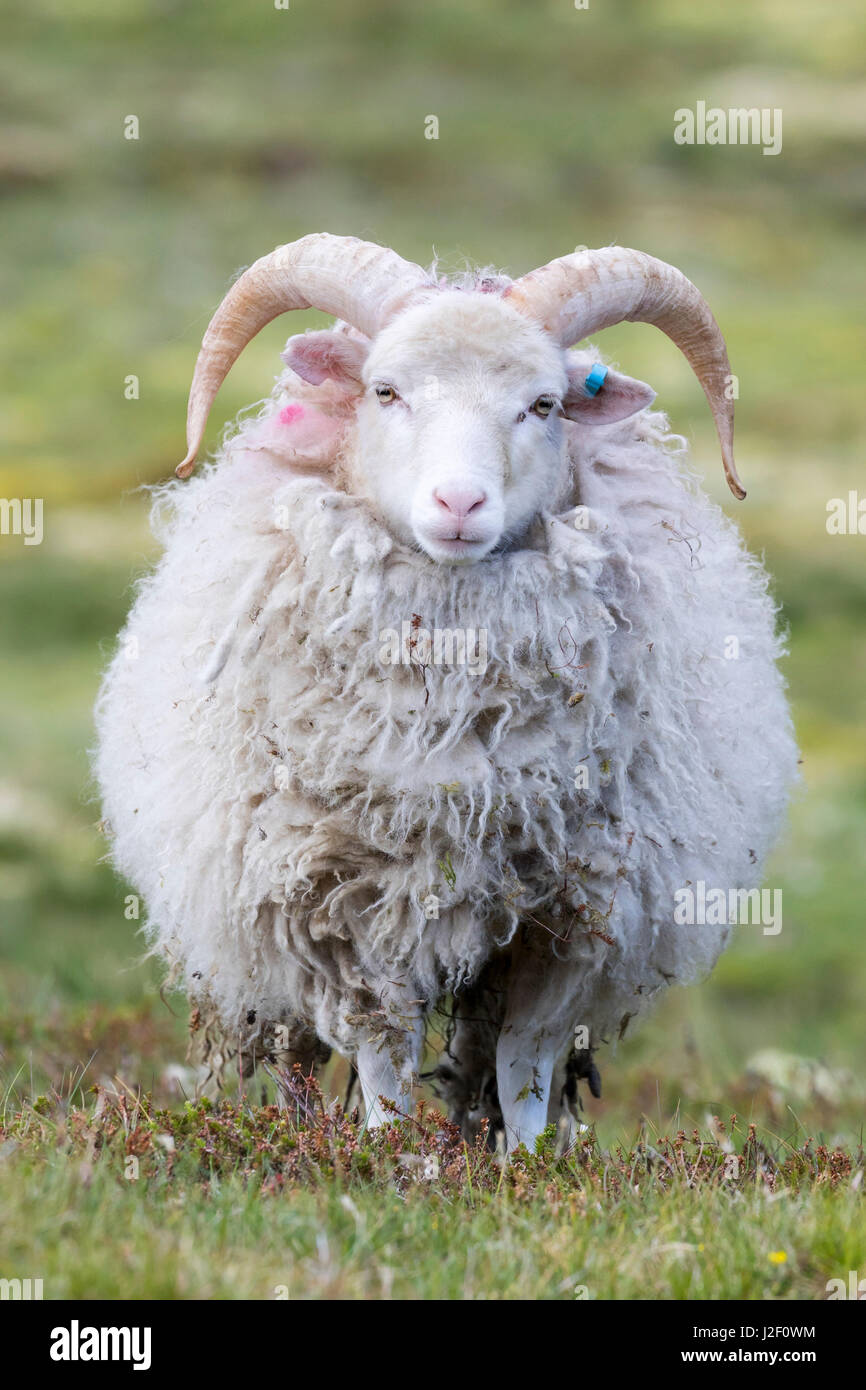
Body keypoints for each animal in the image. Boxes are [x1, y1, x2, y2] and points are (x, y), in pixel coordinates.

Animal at [95, 233, 798, 1152]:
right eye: (385, 390)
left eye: (543, 404)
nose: (458, 502)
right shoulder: (348, 912)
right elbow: (384, 1053)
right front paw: (386, 1155)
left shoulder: (571, 921)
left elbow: (525, 1061)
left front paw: (528, 1164)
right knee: (295, 1054)